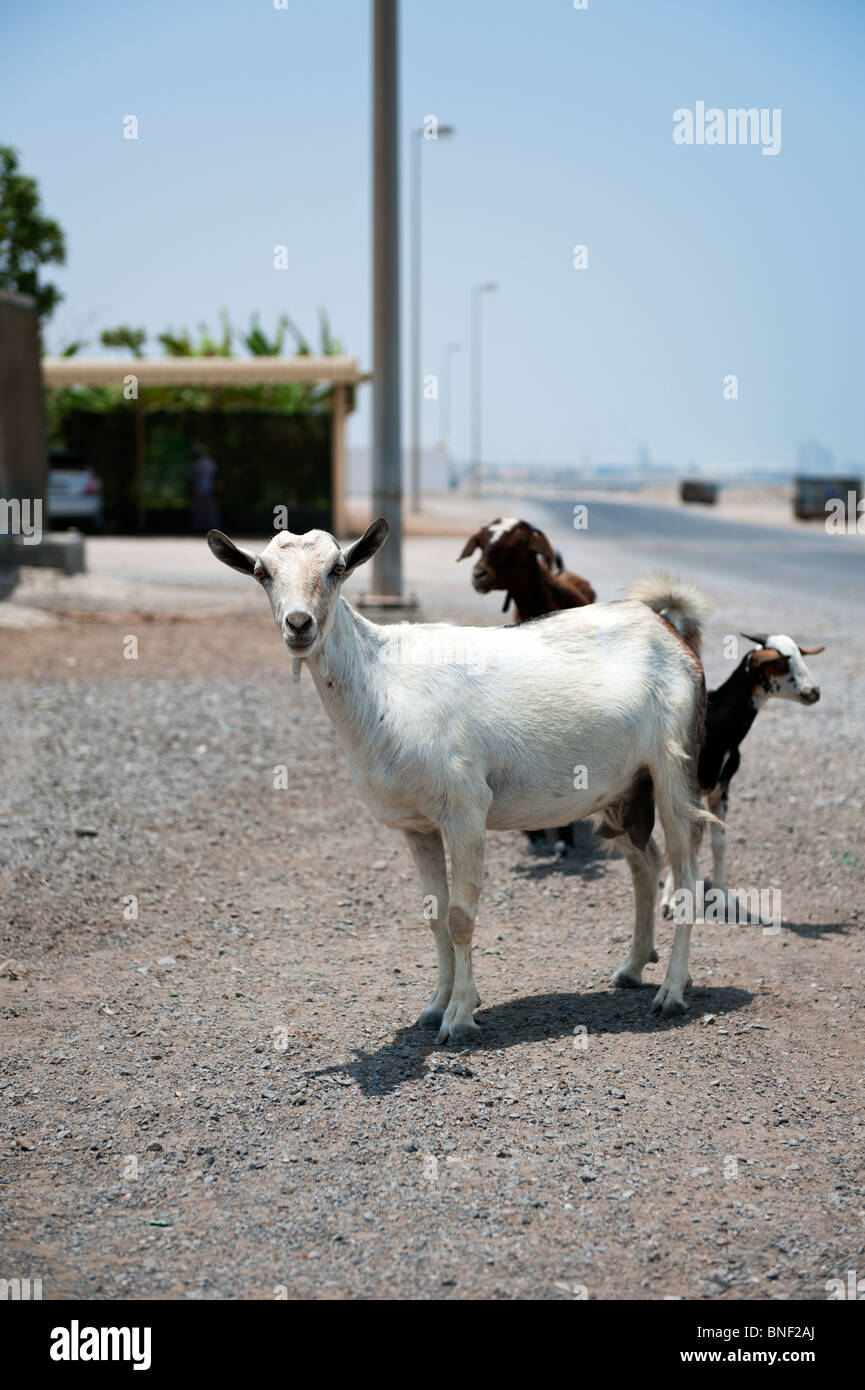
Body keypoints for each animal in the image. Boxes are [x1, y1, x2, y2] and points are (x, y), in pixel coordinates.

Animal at [660, 632, 823, 916]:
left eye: (801, 656)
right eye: (780, 663)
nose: (814, 692)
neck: (717, 726)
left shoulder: (722, 787)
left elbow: (719, 842)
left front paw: (722, 897)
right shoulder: (688, 789)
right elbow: (684, 841)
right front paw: (675, 897)